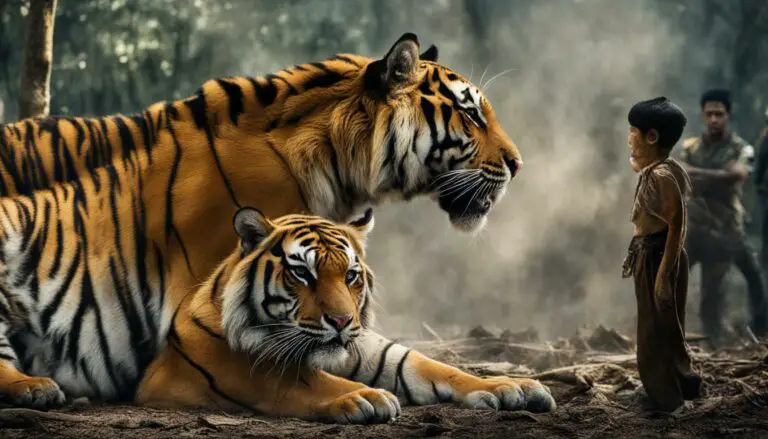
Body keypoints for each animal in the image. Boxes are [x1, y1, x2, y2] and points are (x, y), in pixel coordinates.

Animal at [0, 32, 524, 408]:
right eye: (470, 113)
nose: (518, 164)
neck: (334, 163)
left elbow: (406, 358)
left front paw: (503, 387)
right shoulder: (200, 332)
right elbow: (288, 375)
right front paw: (360, 396)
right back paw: (34, 387)